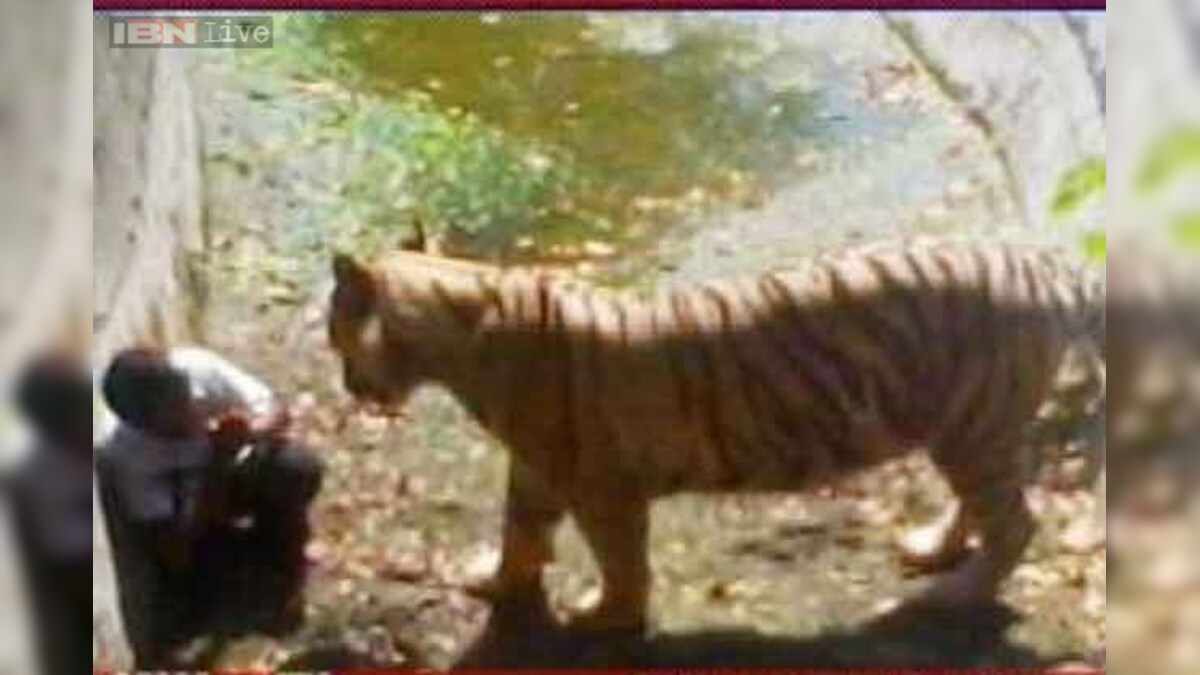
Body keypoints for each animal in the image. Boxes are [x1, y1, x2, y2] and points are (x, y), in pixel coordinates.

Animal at [327, 235, 1106, 633]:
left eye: (334, 331)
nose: (346, 386)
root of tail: (1046, 266)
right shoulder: (539, 467)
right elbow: (520, 529)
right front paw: (495, 580)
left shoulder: (601, 486)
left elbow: (621, 562)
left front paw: (604, 616)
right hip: (961, 431)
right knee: (982, 508)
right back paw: (930, 548)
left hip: (975, 429)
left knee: (1016, 523)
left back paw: (954, 592)